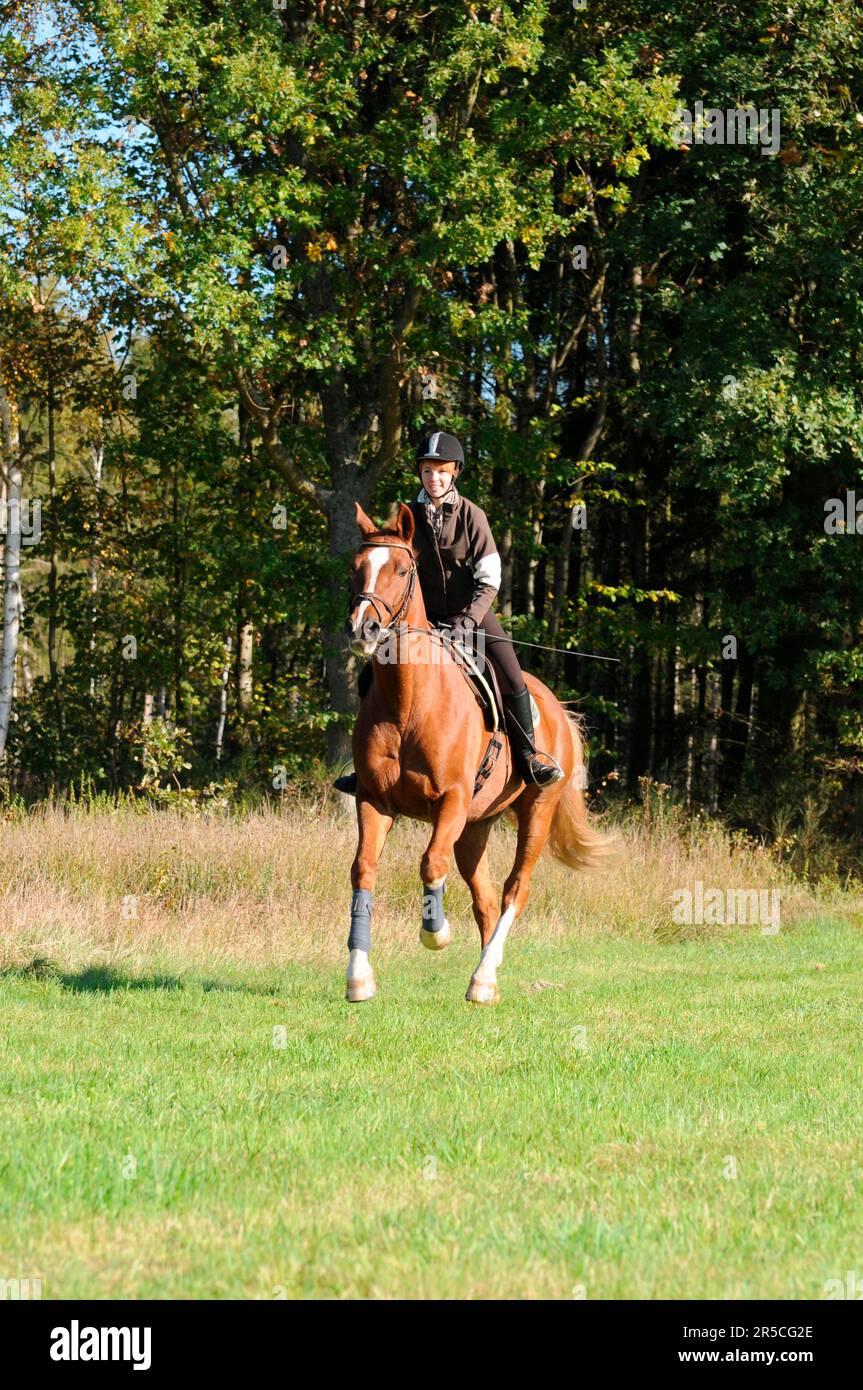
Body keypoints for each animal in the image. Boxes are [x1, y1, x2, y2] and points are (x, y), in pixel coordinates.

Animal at [342, 499, 610, 1004]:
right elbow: (364, 869)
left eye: (402, 569)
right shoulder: (374, 801)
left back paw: (484, 976)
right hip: (475, 826)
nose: (363, 629)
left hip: (536, 809)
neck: (409, 700)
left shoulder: (451, 799)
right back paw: (486, 979)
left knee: (514, 890)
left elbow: (431, 862)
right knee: (485, 898)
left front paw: (436, 934)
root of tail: (557, 709)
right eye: (356, 568)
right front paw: (358, 976)